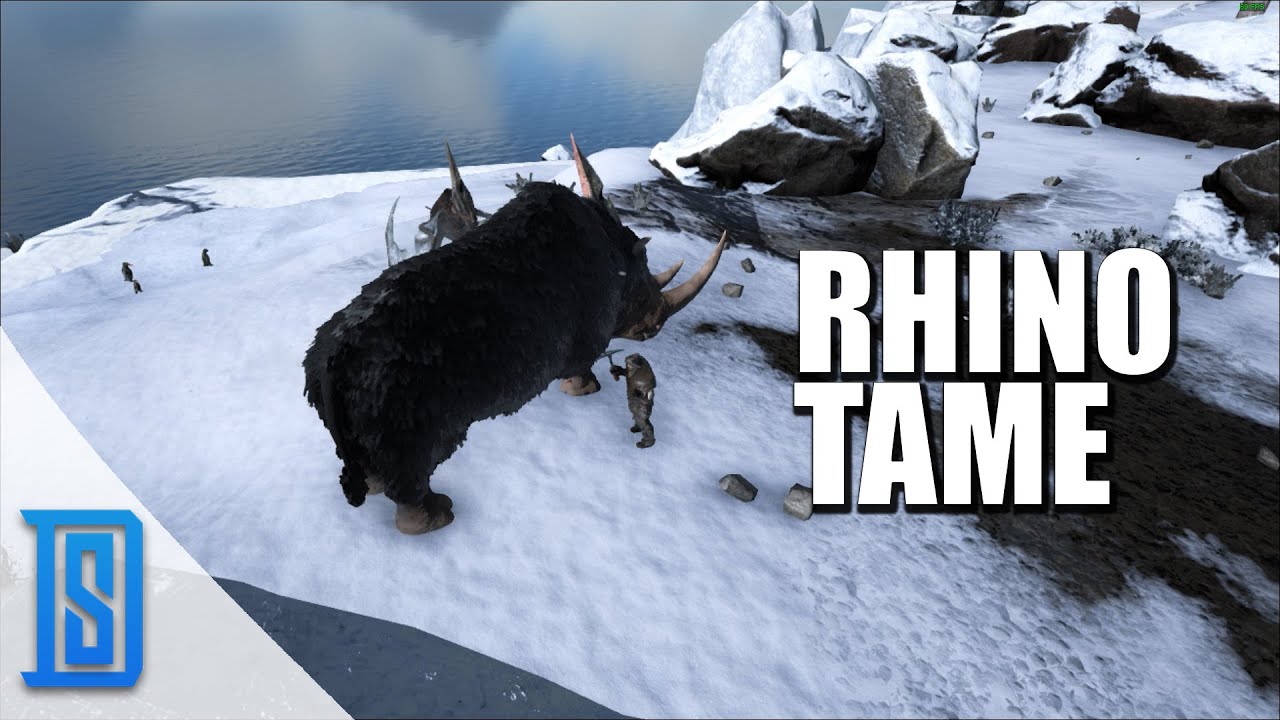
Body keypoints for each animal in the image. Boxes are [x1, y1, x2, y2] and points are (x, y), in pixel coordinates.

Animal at [303, 138, 727, 534]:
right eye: (644, 301)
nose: (654, 327)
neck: (620, 259)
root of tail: (327, 368)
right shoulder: (590, 331)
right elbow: (581, 371)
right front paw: (583, 390)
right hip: (397, 401)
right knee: (413, 467)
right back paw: (439, 513)